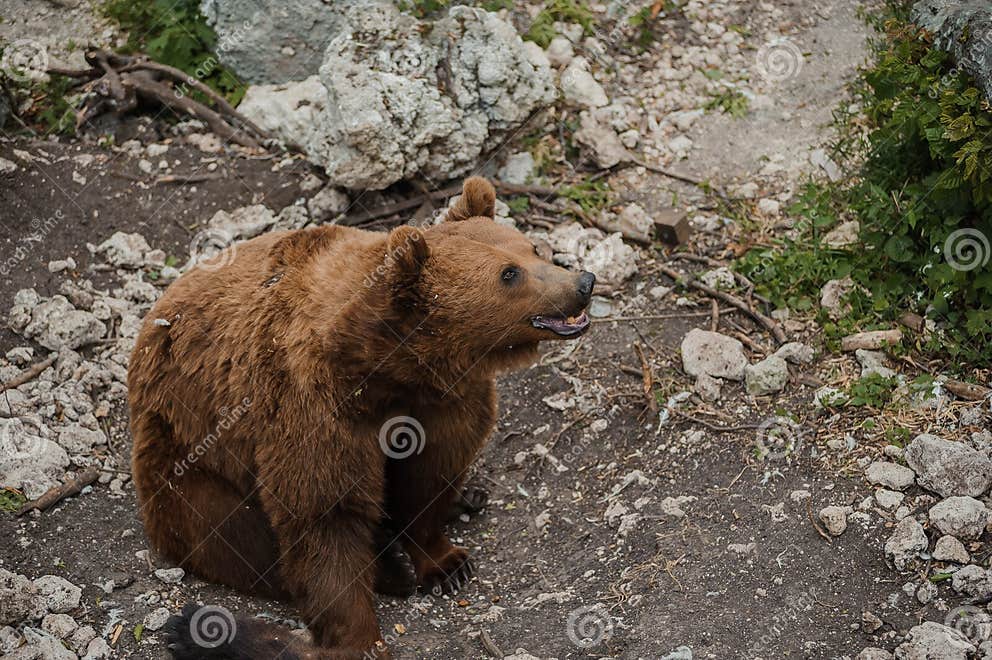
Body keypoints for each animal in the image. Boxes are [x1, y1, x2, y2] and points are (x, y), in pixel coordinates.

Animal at [128, 177, 596, 659]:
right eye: (509, 274)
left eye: (532, 248)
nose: (583, 282)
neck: (389, 366)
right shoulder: (312, 408)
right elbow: (324, 515)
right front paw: (362, 632)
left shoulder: (444, 401)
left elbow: (431, 474)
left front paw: (445, 562)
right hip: (189, 459)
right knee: (239, 539)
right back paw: (391, 567)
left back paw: (466, 499)